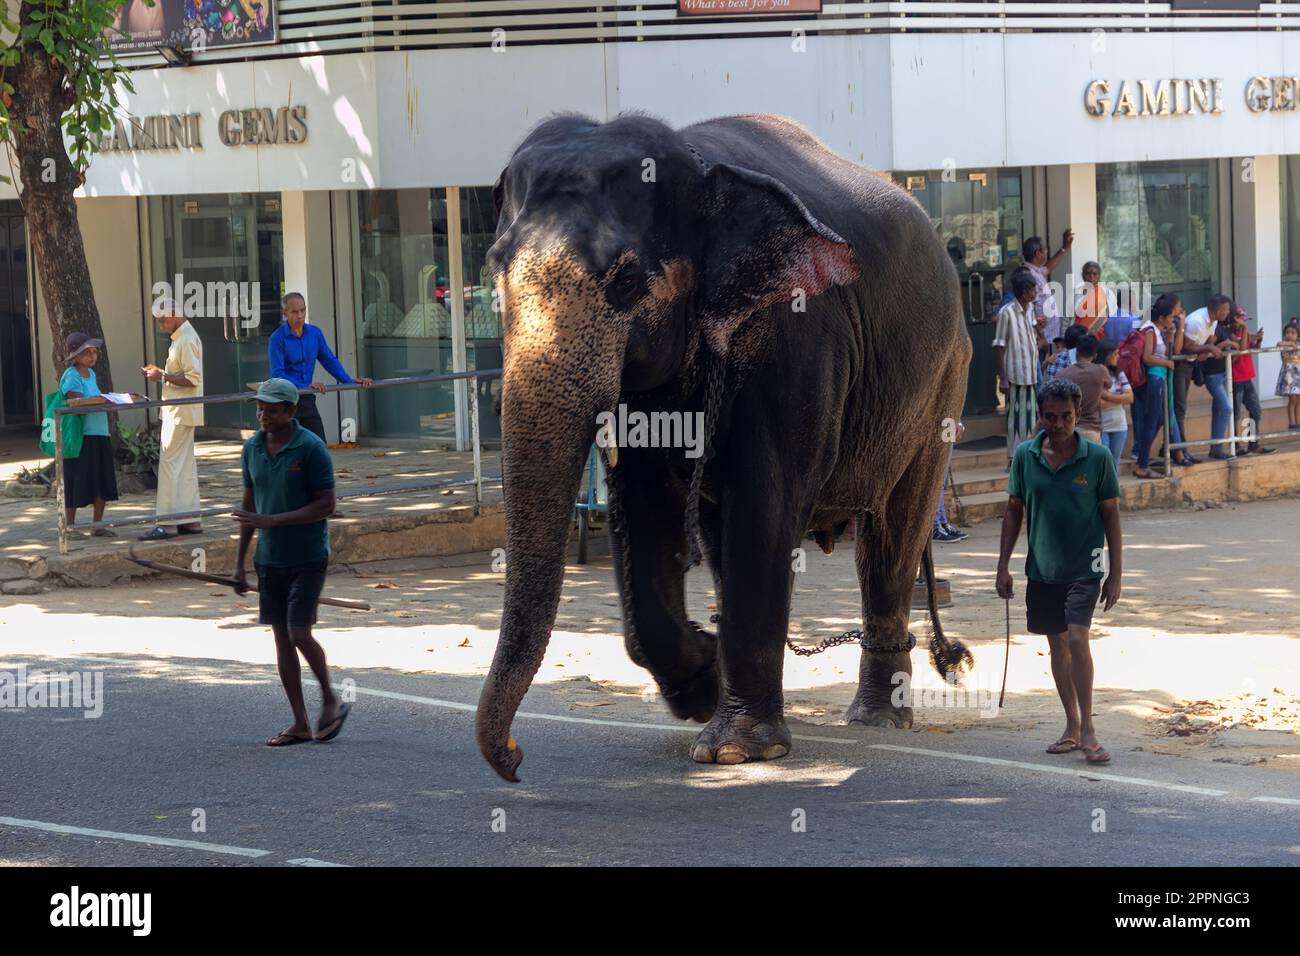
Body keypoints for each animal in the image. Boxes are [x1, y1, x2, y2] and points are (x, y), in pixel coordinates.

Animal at [477, 111, 973, 782]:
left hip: (942, 382)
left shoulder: (794, 339)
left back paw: (878, 719)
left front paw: (735, 749)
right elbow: (643, 509)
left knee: (893, 529)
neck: (699, 165)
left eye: (626, 280)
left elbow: (764, 505)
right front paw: (701, 685)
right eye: (494, 272)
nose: (514, 759)